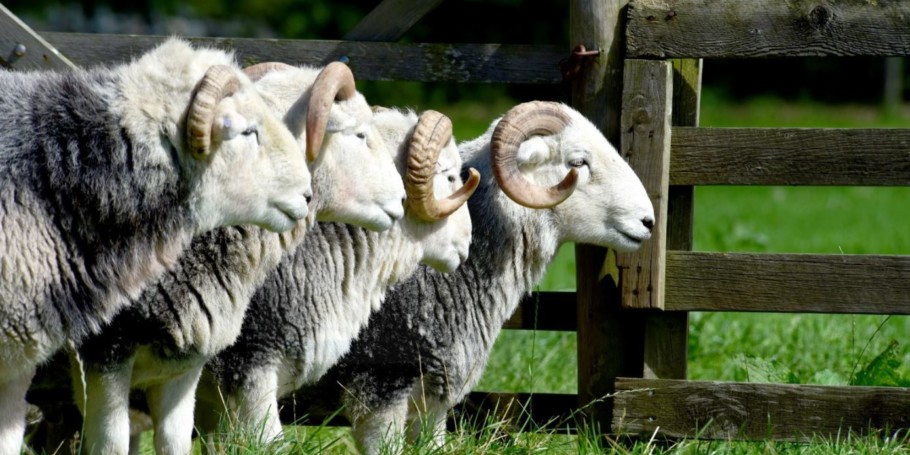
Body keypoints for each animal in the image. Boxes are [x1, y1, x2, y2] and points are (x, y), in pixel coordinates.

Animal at [24, 60, 407, 455]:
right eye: (360, 135)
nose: (404, 199)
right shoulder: (107, 349)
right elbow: (111, 444)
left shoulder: (186, 360)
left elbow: (176, 441)